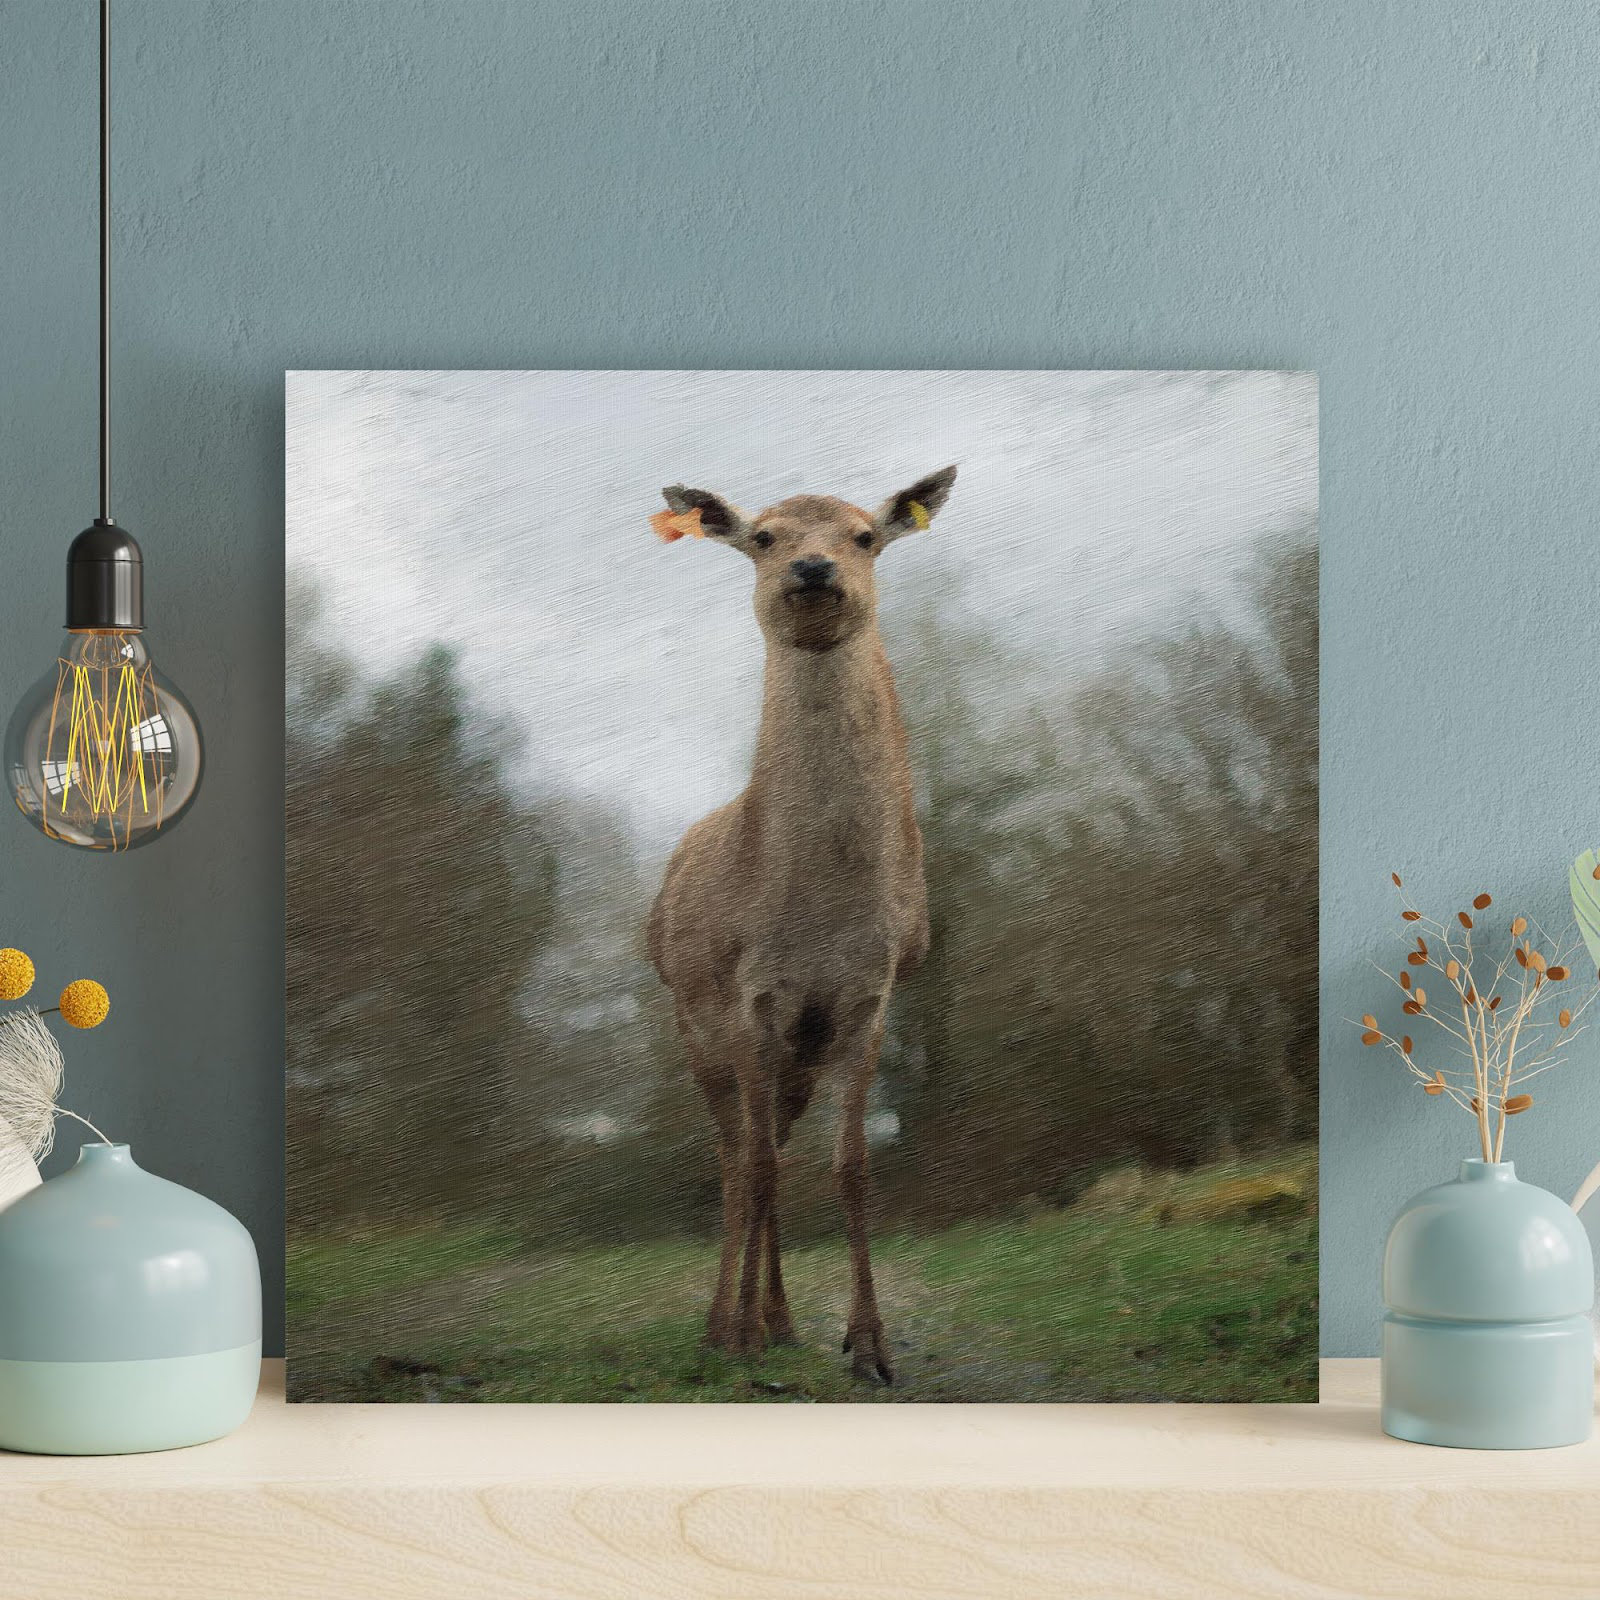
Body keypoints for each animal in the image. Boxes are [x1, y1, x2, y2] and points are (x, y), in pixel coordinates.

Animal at [646, 465, 955, 1385]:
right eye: (764, 537)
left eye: (865, 536)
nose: (813, 568)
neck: (822, 909)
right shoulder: (750, 996)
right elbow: (750, 1167)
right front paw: (734, 1333)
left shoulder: (870, 992)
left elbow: (848, 1164)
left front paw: (871, 1348)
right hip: (693, 1024)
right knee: (734, 1156)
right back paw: (732, 1324)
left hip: (799, 1054)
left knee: (777, 1149)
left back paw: (780, 1320)